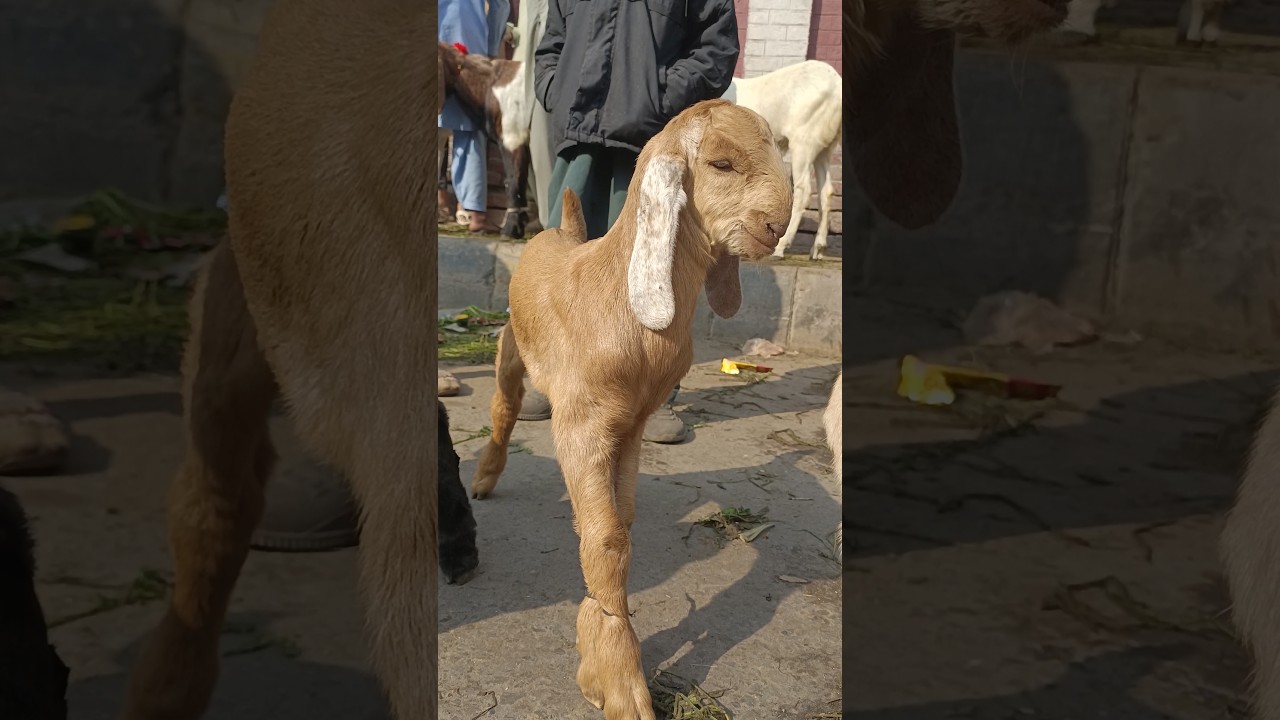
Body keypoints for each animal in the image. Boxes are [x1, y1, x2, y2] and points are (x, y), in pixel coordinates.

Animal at [470, 99, 791, 720]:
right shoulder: (582, 426)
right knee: (502, 409)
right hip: (511, 351)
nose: (776, 227)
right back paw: (483, 479)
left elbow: (623, 524)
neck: (615, 291)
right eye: (720, 163)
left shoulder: (631, 426)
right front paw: (622, 682)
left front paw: (599, 659)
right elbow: (606, 542)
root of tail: (560, 234)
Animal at [721, 60, 842, 261]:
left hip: (804, 141)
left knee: (803, 190)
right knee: (826, 192)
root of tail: (836, 86)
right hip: (825, 147)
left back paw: (781, 246)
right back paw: (817, 249)